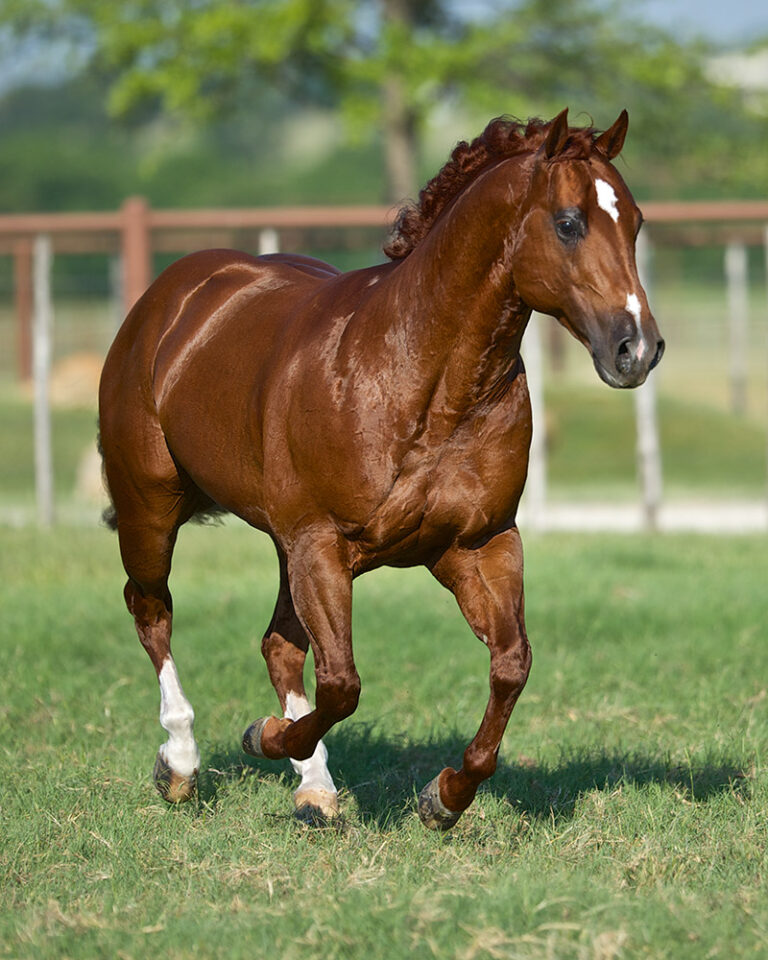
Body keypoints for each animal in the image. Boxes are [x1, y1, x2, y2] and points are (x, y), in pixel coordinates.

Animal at [98, 108, 664, 830]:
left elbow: (511, 663)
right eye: (569, 222)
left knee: (279, 644)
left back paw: (314, 791)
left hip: (284, 545)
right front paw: (262, 737)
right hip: (152, 507)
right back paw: (181, 763)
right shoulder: (321, 544)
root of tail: (174, 295)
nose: (637, 349)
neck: (422, 381)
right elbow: (342, 684)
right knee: (152, 610)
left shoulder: (476, 544)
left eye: (636, 222)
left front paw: (444, 798)